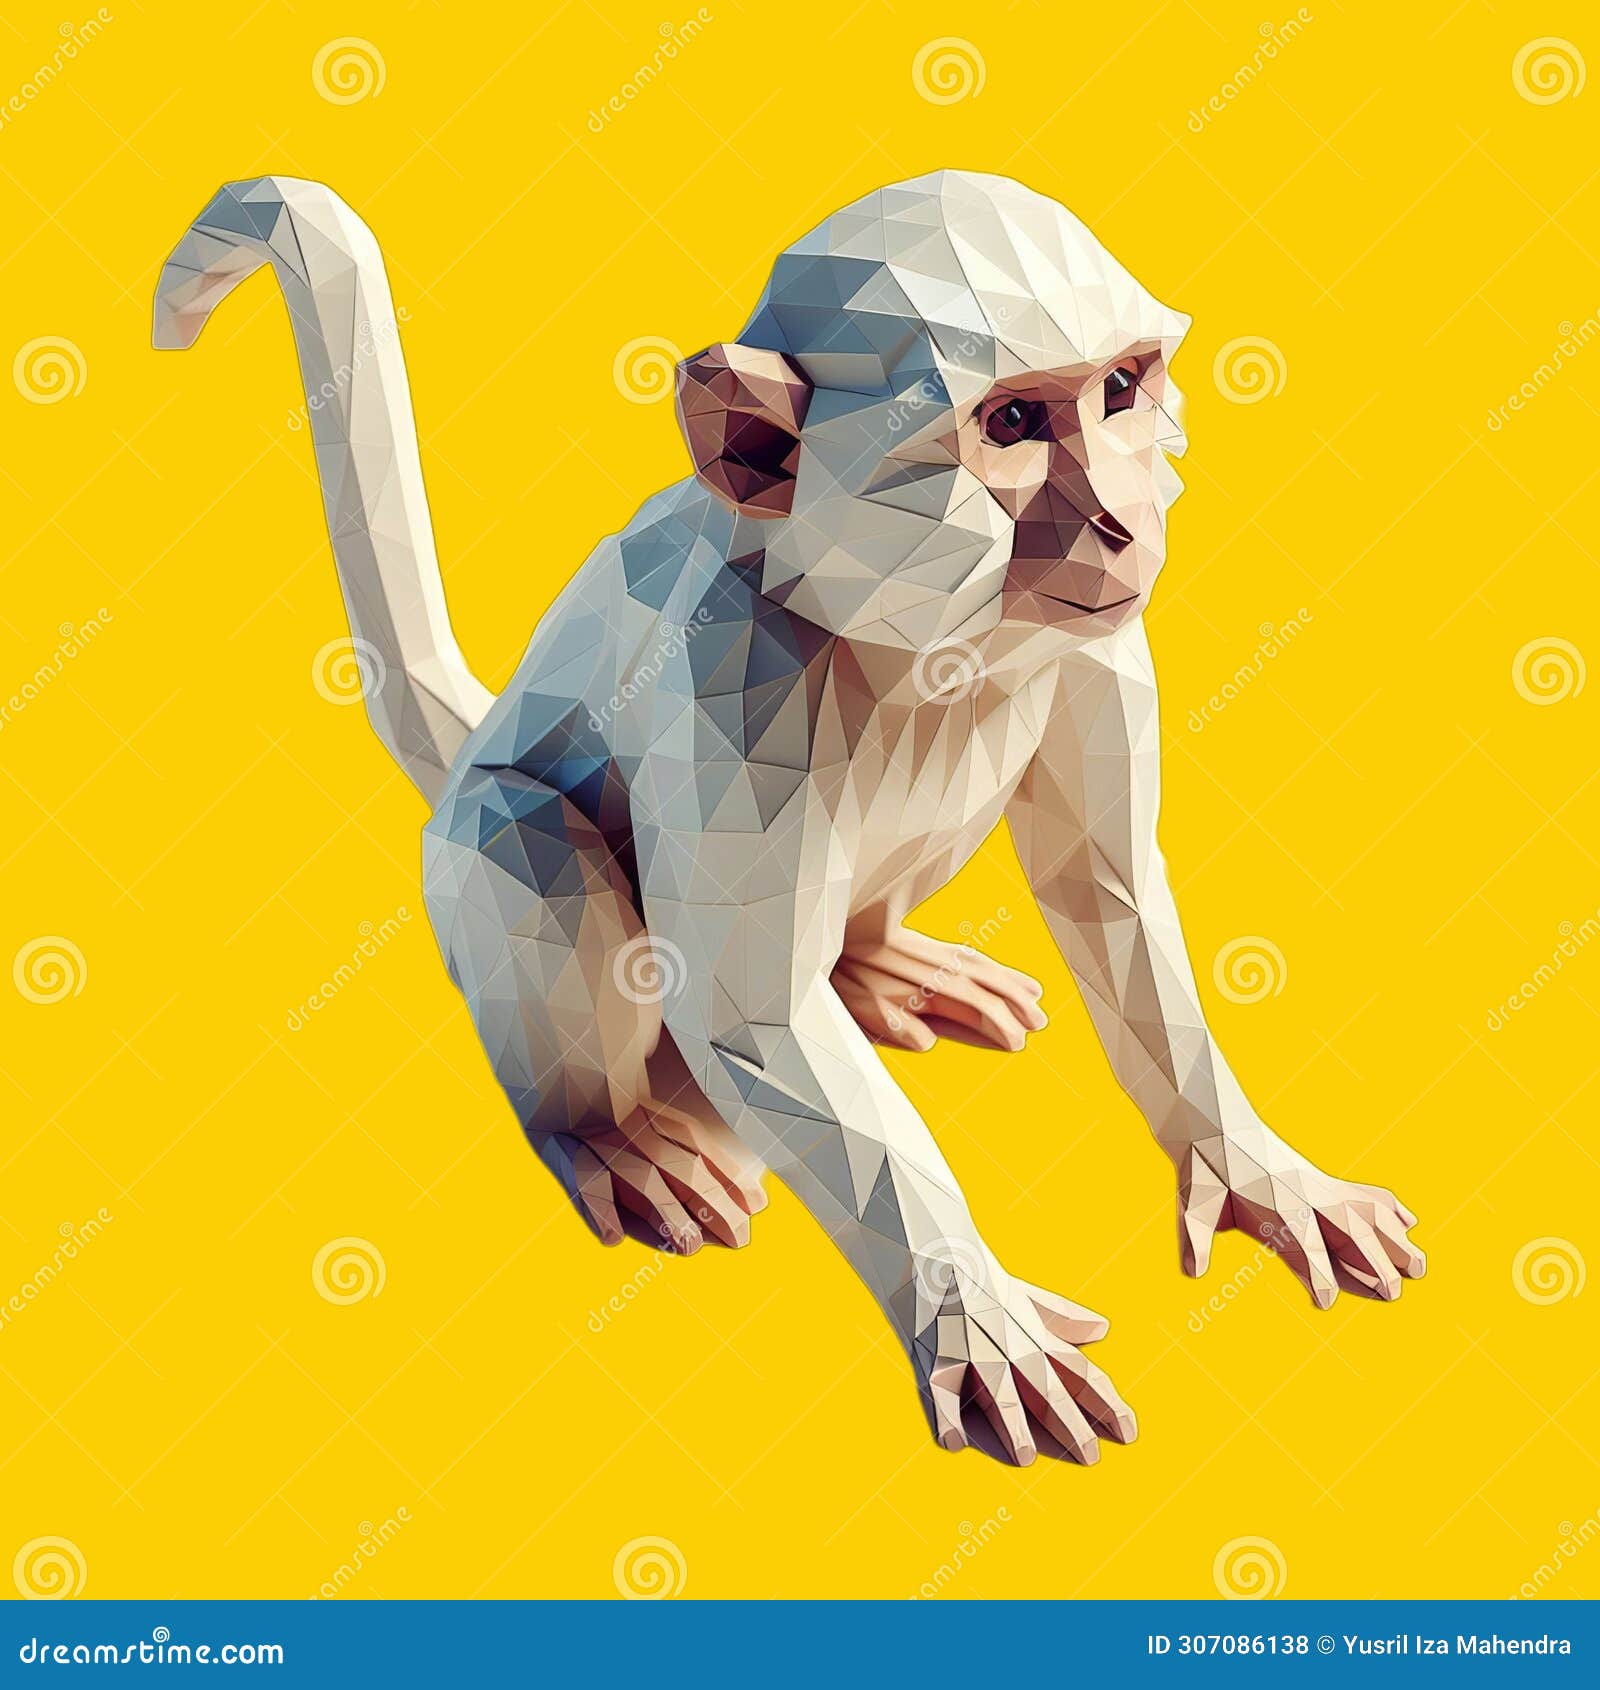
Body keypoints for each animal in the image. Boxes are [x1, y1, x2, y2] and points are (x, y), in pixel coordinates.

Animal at [154, 170, 1424, 1467]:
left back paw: (870, 963)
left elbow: (1106, 890)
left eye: (1118, 392)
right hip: (493, 857)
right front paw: (968, 1310)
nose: (1123, 522)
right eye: (1012, 424)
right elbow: (748, 1019)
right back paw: (602, 1130)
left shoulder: (1097, 644)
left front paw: (1254, 1163)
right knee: (528, 841)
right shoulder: (737, 679)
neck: (891, 629)